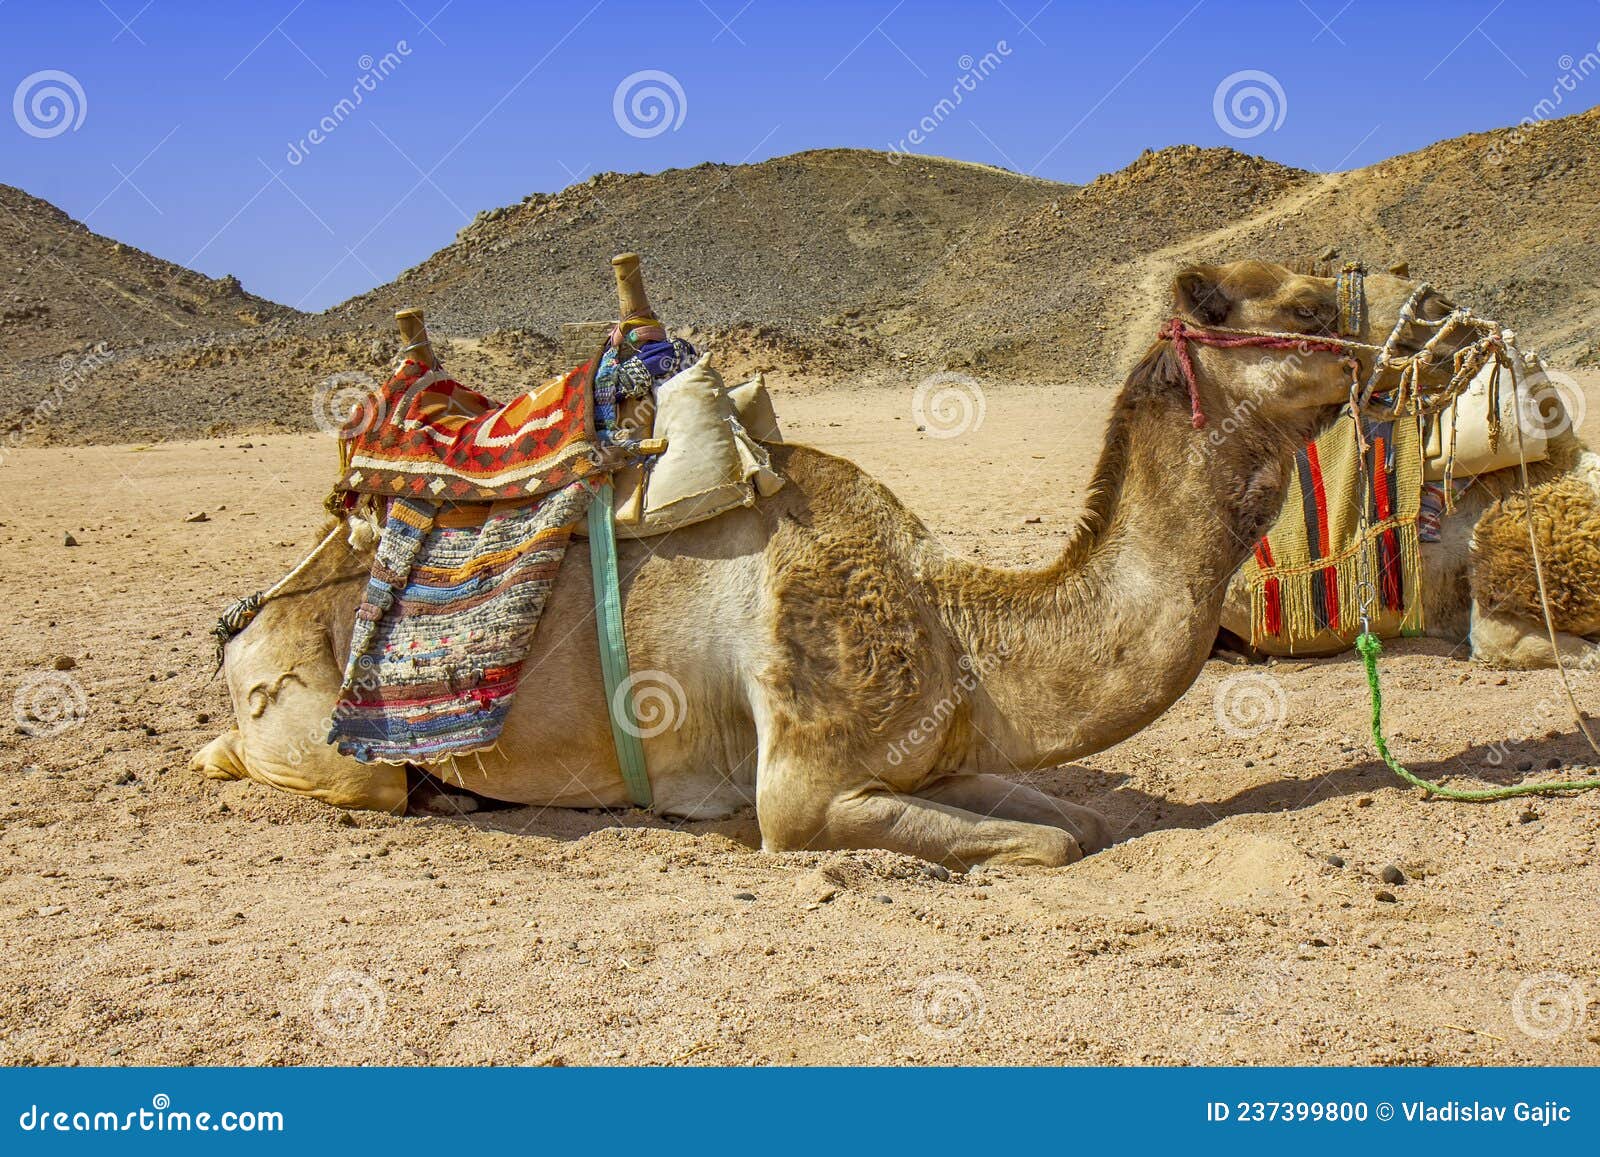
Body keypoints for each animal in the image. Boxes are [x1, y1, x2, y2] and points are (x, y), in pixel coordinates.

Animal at [192, 260, 1473, 868]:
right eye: (1304, 307)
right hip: (320, 720)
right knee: (319, 769)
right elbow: (1051, 839)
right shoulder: (804, 788)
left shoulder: (946, 752)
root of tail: (251, 618)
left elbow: (1070, 814)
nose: (1444, 330)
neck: (955, 624)